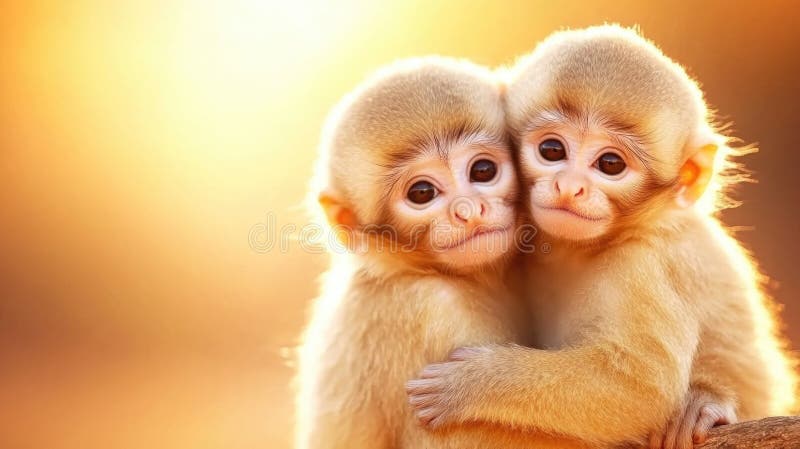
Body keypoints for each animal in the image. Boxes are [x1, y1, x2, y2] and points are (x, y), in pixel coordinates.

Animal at [406, 25, 798, 449]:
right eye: (552, 150)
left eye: (610, 163)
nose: (569, 187)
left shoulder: (643, 263)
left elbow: (639, 385)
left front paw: (471, 383)